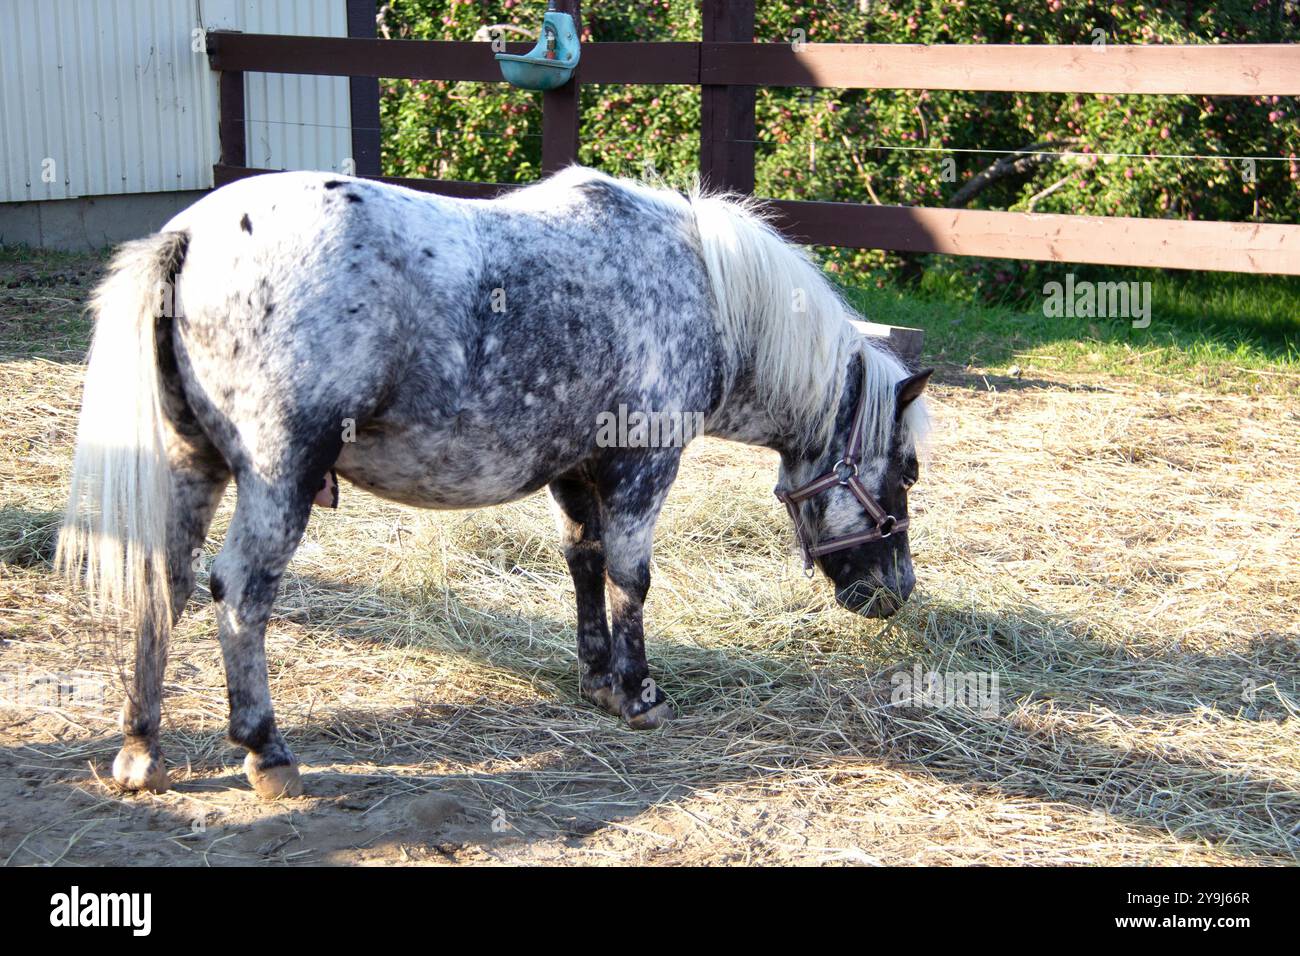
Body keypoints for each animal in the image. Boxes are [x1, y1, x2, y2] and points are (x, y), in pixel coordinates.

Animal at [57, 166, 932, 799]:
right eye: (909, 470)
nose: (897, 593)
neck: (701, 289)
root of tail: (188, 234)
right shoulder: (642, 471)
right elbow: (631, 577)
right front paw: (639, 692)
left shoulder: (578, 475)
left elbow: (584, 566)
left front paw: (596, 678)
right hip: (278, 480)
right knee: (240, 594)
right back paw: (265, 751)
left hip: (192, 466)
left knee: (162, 581)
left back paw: (141, 749)